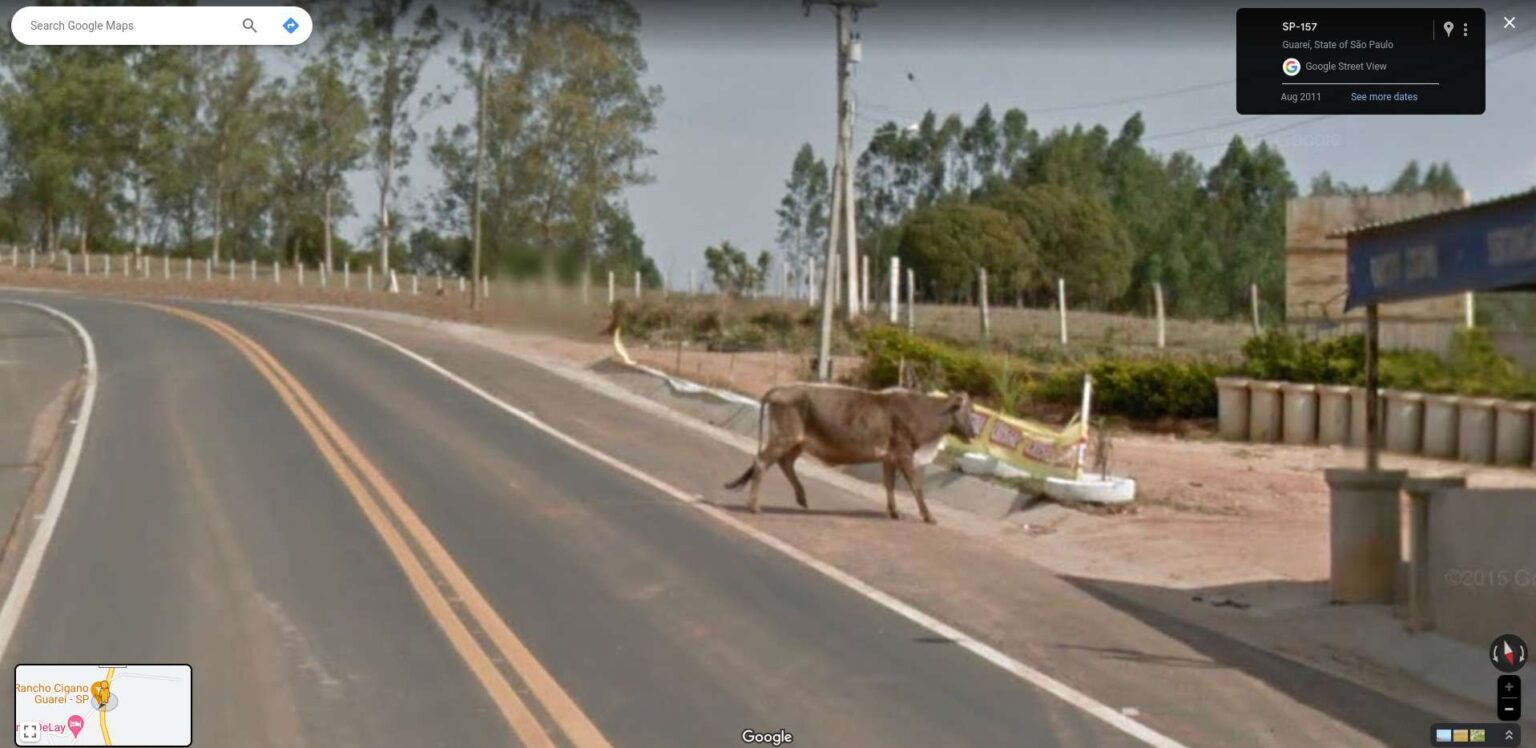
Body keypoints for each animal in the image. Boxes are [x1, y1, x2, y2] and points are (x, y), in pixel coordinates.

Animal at [724, 384, 979, 524]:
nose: (975, 432)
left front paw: (894, 511)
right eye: (968, 411)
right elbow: (916, 486)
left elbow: (889, 485)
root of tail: (782, 388)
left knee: (784, 463)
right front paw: (928, 516)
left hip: (794, 442)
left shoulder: (889, 457)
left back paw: (802, 497)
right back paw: (754, 506)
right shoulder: (904, 453)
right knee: (761, 462)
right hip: (784, 438)